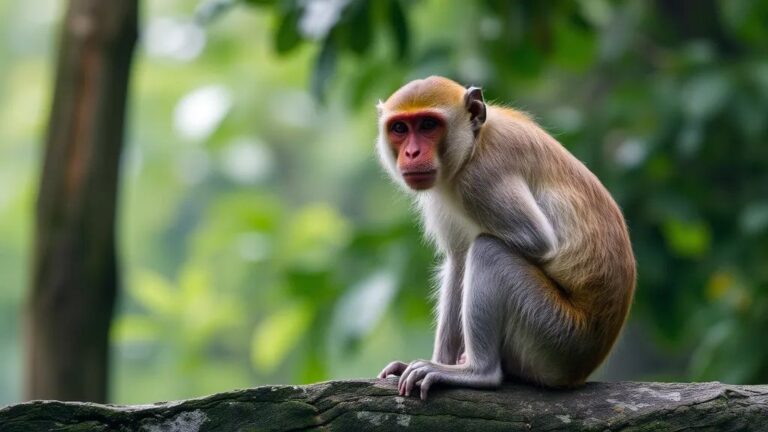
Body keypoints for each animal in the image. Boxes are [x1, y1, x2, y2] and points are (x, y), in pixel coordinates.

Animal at [374, 76, 636, 400]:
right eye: (400, 128)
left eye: (427, 124)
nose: (412, 153)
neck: (473, 145)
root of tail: (582, 369)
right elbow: (458, 260)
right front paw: (438, 360)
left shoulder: (479, 179)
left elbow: (537, 241)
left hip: (555, 335)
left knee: (489, 250)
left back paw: (479, 372)